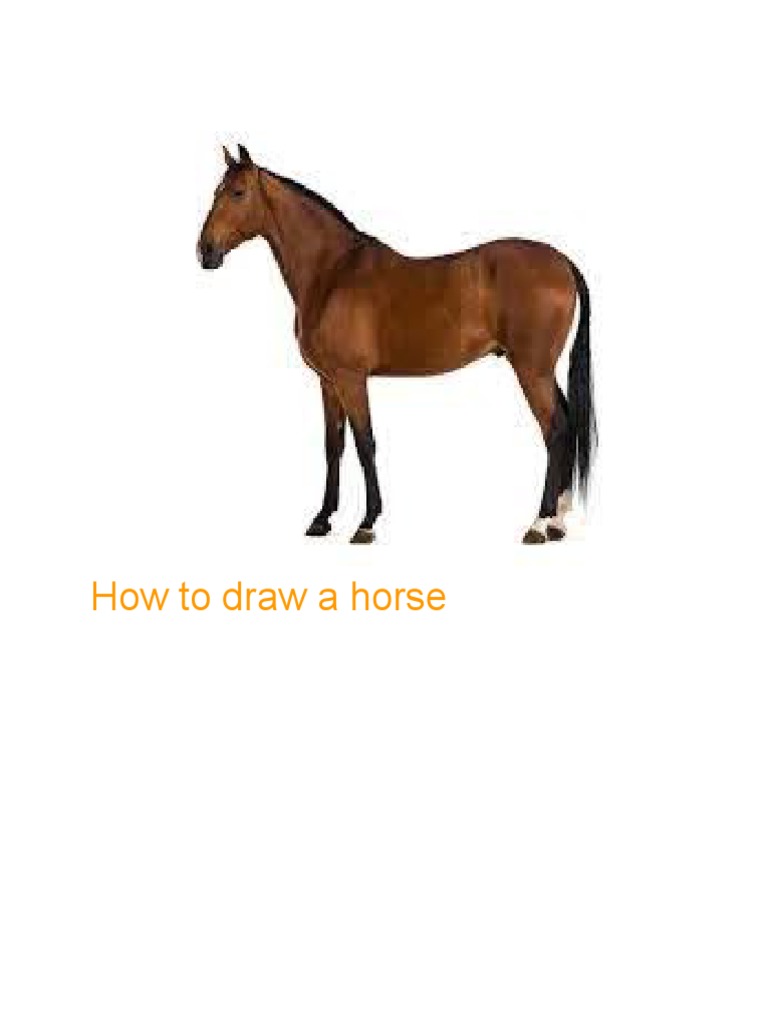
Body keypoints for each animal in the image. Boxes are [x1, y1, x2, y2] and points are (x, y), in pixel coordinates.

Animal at [197, 144, 596, 544]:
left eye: (238, 193)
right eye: (217, 190)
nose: (205, 251)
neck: (332, 273)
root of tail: (562, 262)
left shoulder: (351, 379)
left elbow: (365, 443)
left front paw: (367, 522)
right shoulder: (327, 381)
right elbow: (333, 446)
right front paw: (322, 519)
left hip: (531, 369)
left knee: (554, 430)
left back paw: (539, 524)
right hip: (542, 370)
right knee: (567, 424)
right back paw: (558, 521)